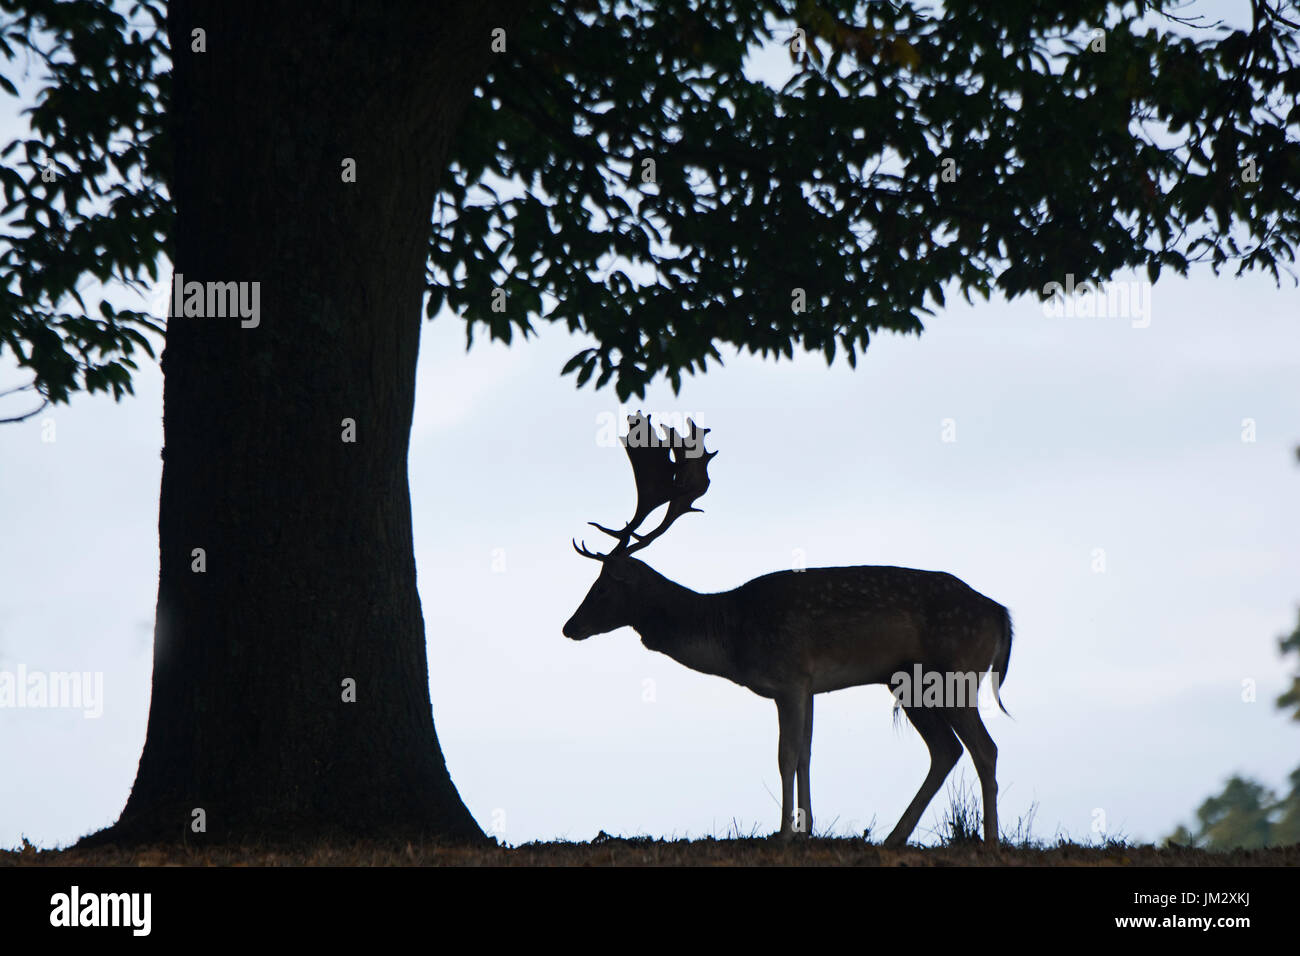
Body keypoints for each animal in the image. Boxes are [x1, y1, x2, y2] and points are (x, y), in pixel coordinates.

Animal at [563, 412, 1013, 847]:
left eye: (604, 586)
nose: (569, 627)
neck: (732, 633)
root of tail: (1000, 614)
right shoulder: (809, 685)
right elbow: (807, 753)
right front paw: (806, 829)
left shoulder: (789, 676)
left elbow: (786, 755)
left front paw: (781, 832)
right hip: (909, 683)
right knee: (947, 750)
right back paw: (896, 836)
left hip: (954, 671)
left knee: (984, 748)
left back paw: (990, 840)